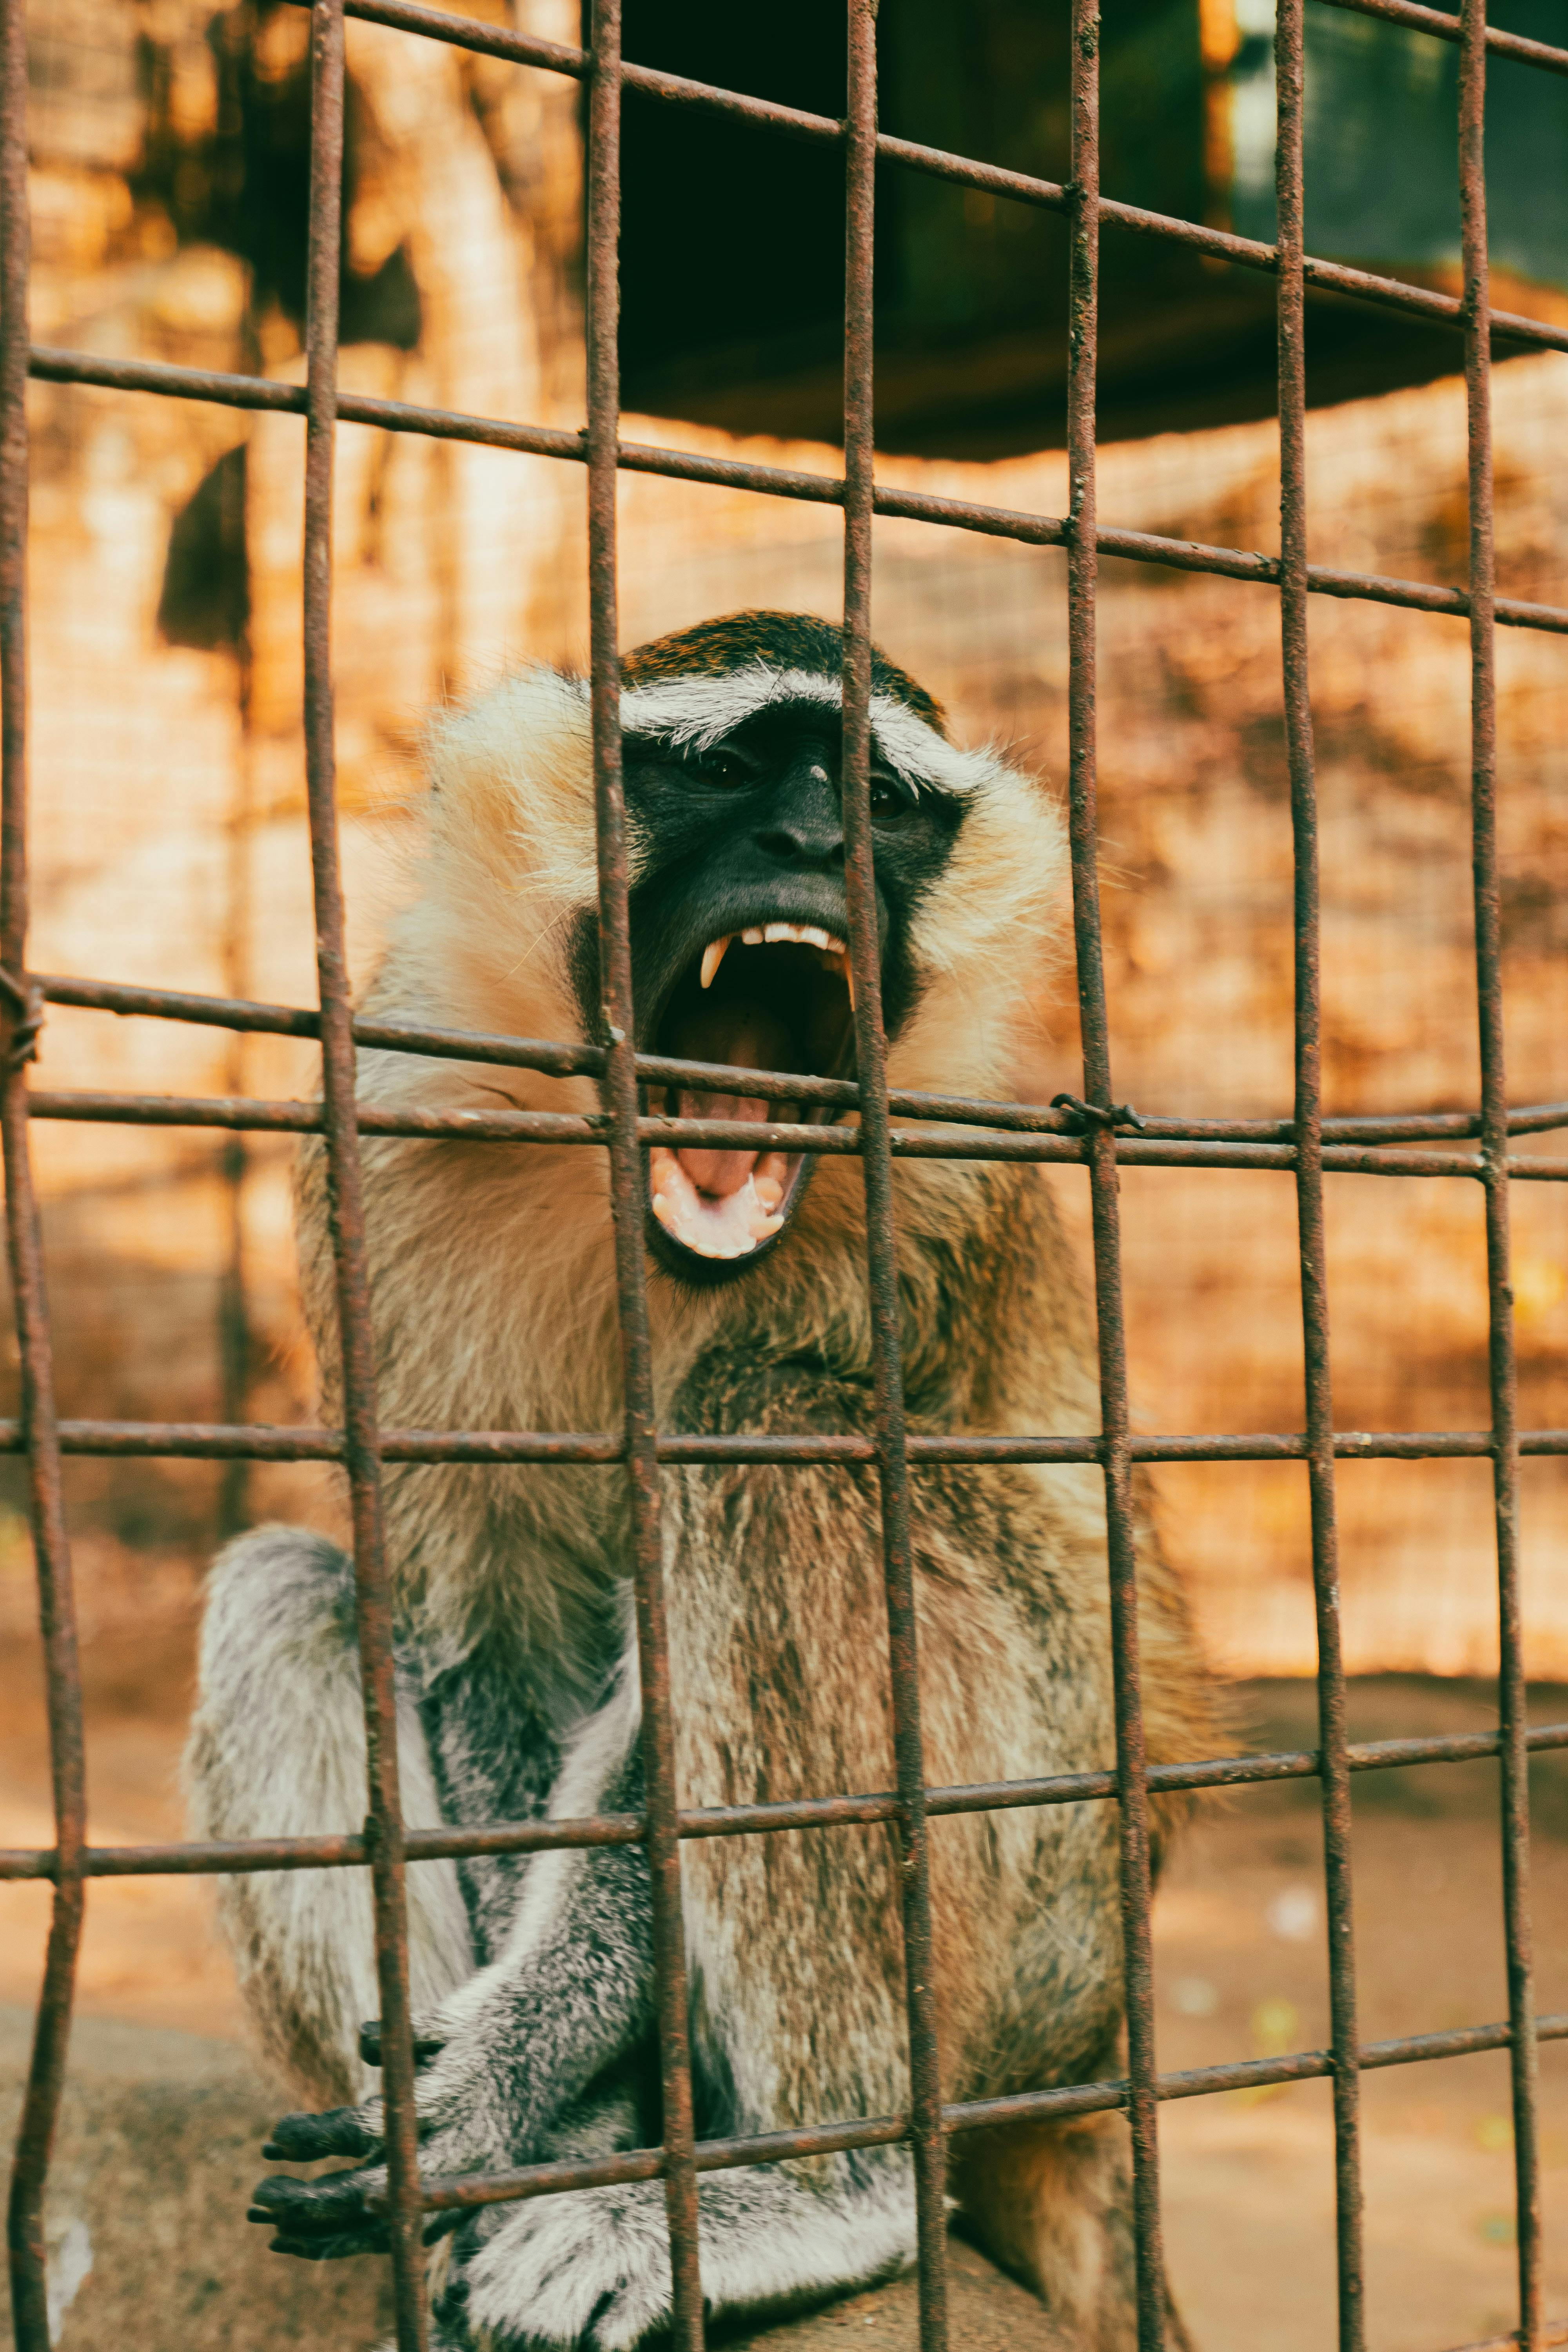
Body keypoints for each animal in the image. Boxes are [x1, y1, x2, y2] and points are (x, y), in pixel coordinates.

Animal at [186, 610, 1216, 2351]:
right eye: (732, 769)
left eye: (879, 799)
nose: (812, 841)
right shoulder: (389, 1148)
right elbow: (491, 1648)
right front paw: (548, 2112)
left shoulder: (938, 1197)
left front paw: (519, 2077)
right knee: (288, 1591)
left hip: (1061, 1889)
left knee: (766, 1439)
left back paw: (821, 2190)